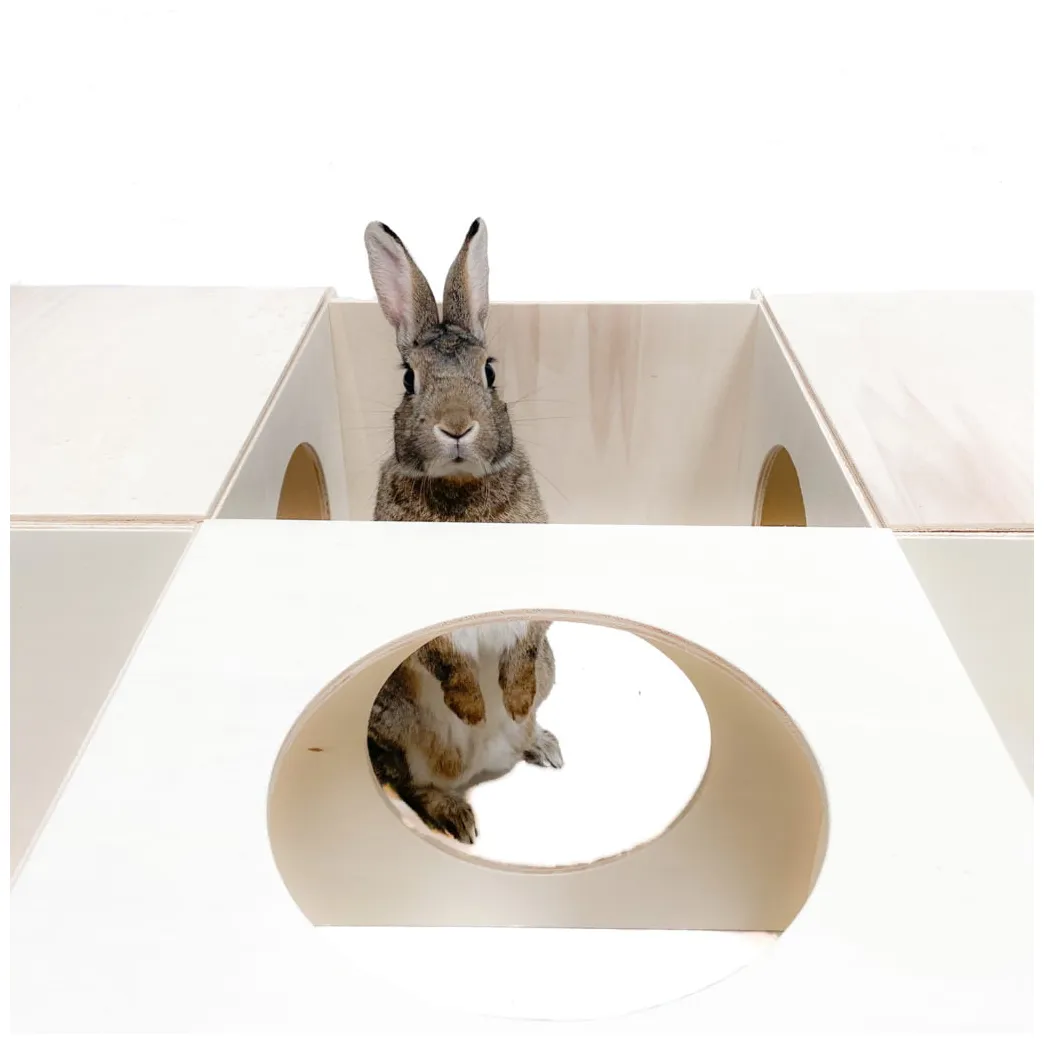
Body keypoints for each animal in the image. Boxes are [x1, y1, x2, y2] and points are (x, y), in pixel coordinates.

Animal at [364, 218, 563, 844]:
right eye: (409, 380)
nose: (456, 426)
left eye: (490, 372)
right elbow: (447, 655)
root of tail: (483, 768)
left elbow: (523, 645)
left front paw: (512, 701)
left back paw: (538, 742)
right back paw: (457, 816)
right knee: (410, 782)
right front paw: (474, 708)